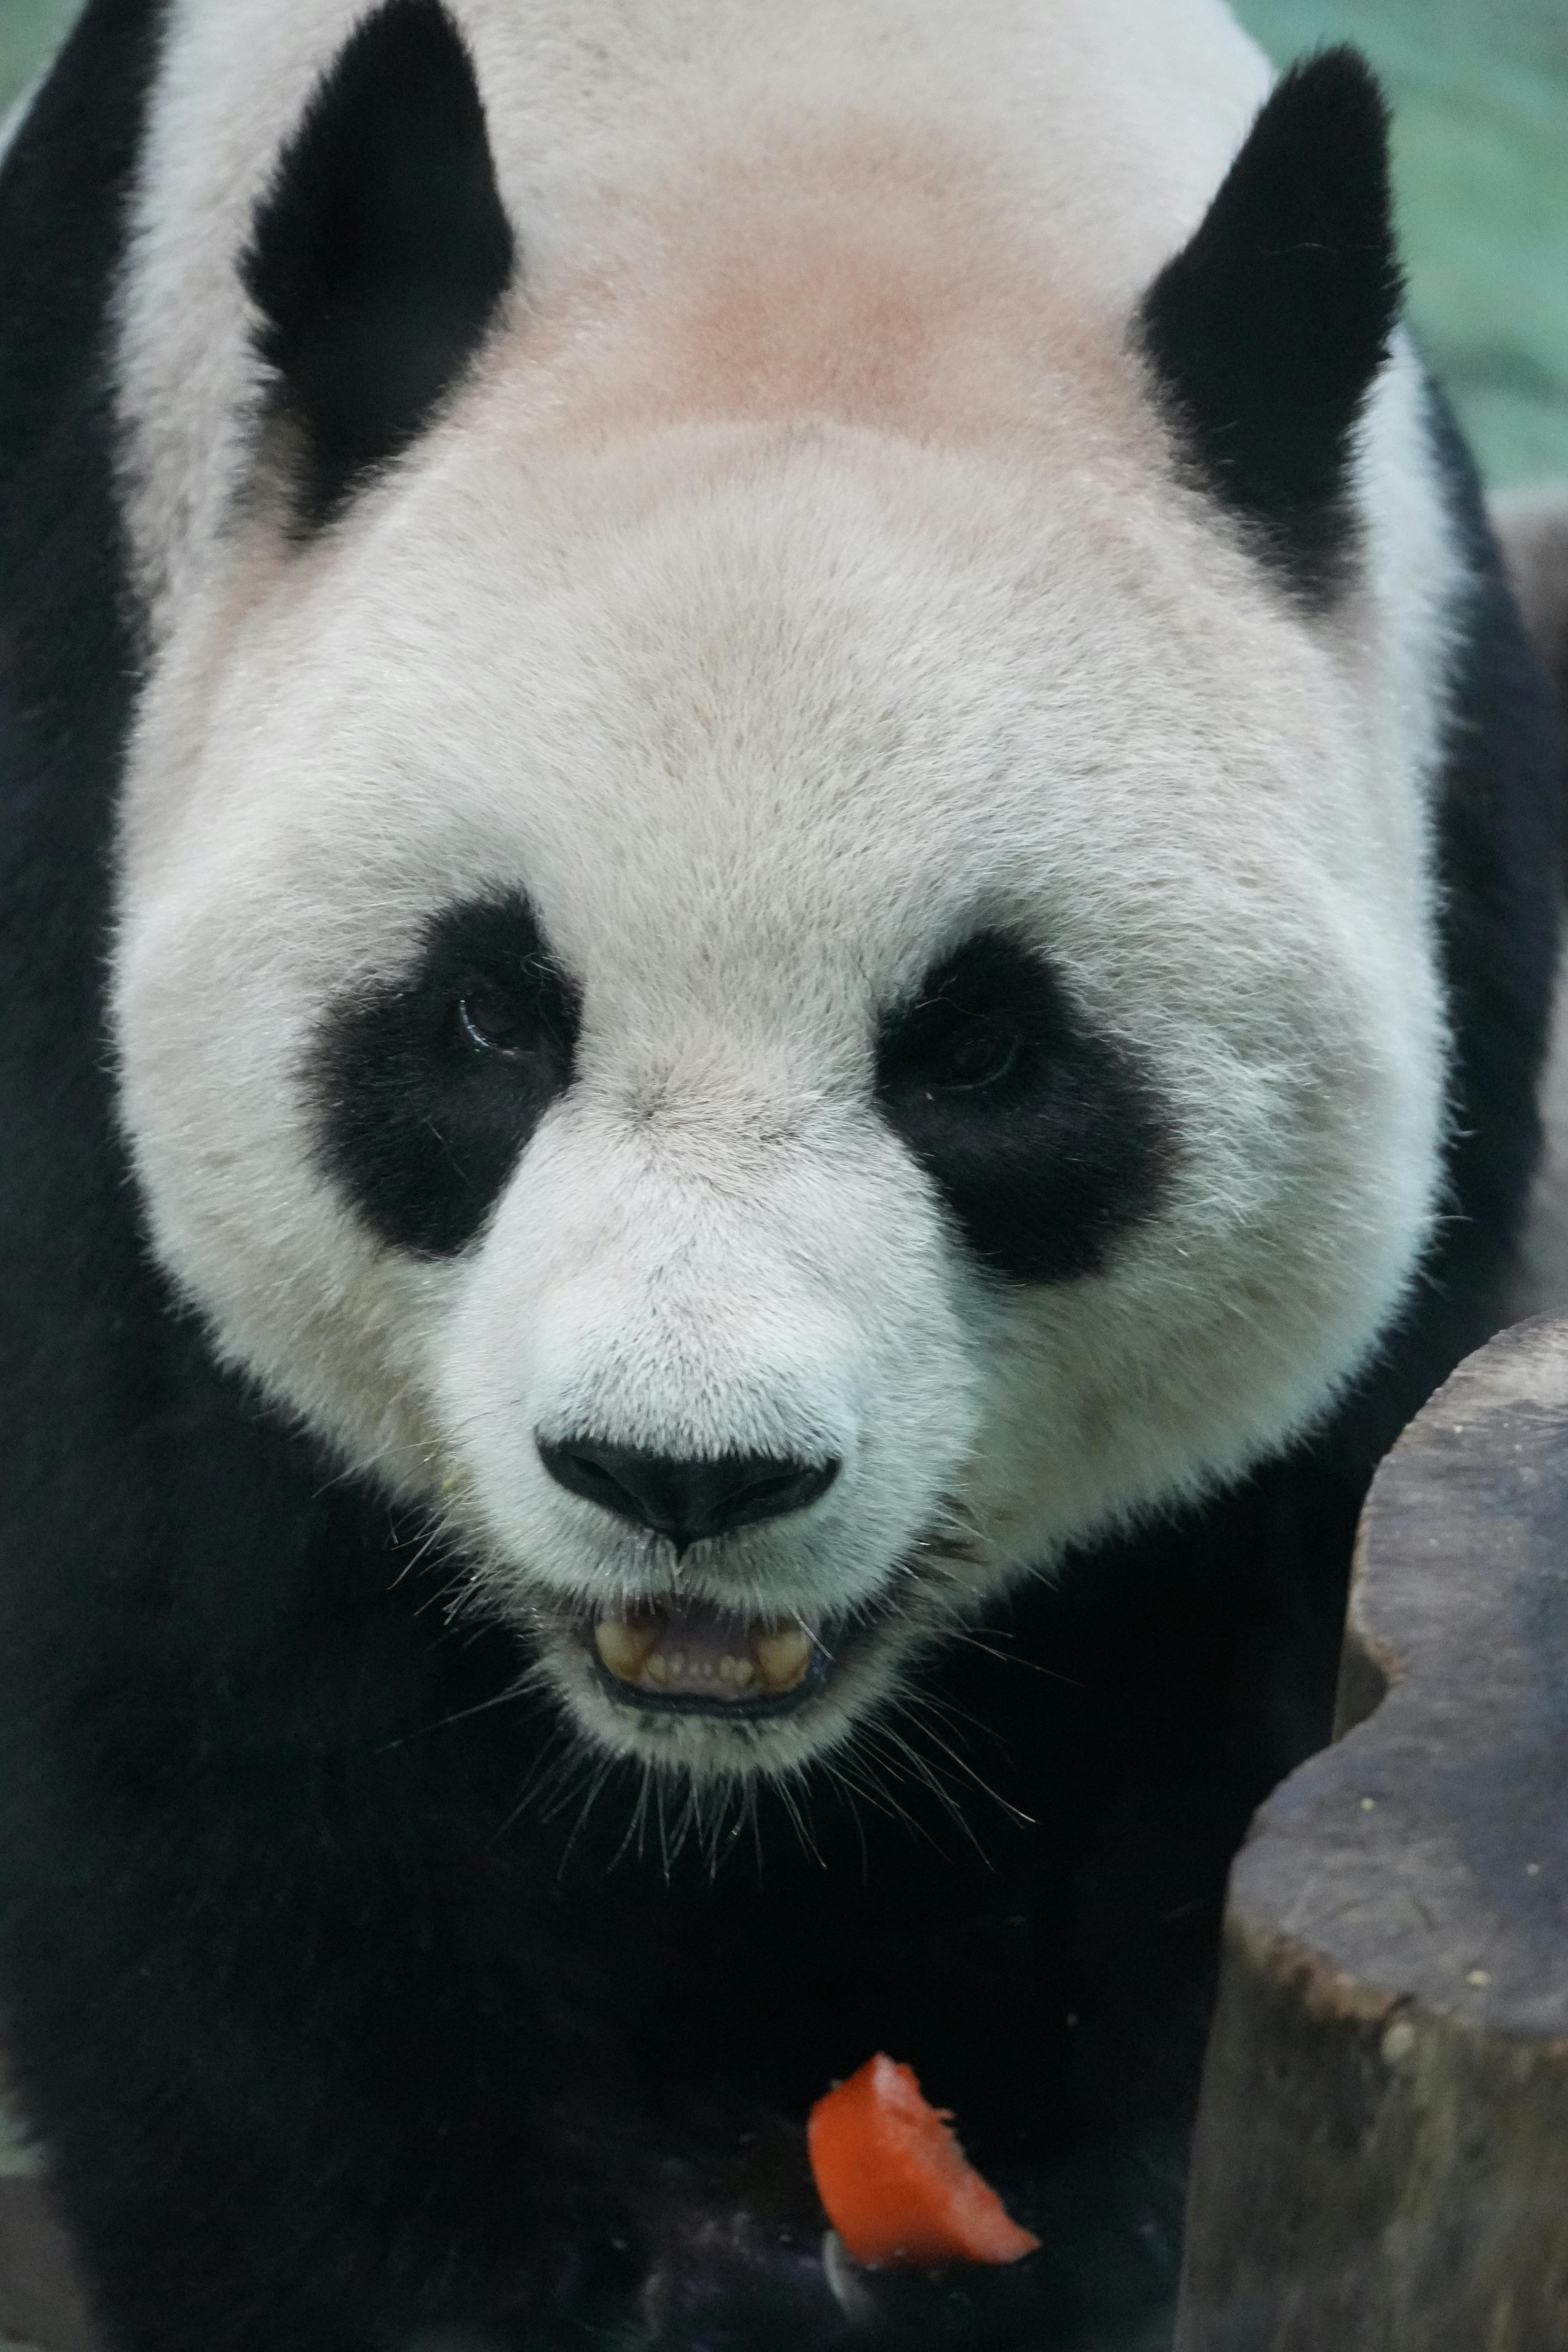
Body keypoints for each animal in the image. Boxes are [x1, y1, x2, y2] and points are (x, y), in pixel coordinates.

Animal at [0, 0, 1561, 2346]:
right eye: (490, 1015)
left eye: (979, 1051)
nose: (683, 1476)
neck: (816, 176)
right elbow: (198, 1714)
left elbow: (1194, 1720)